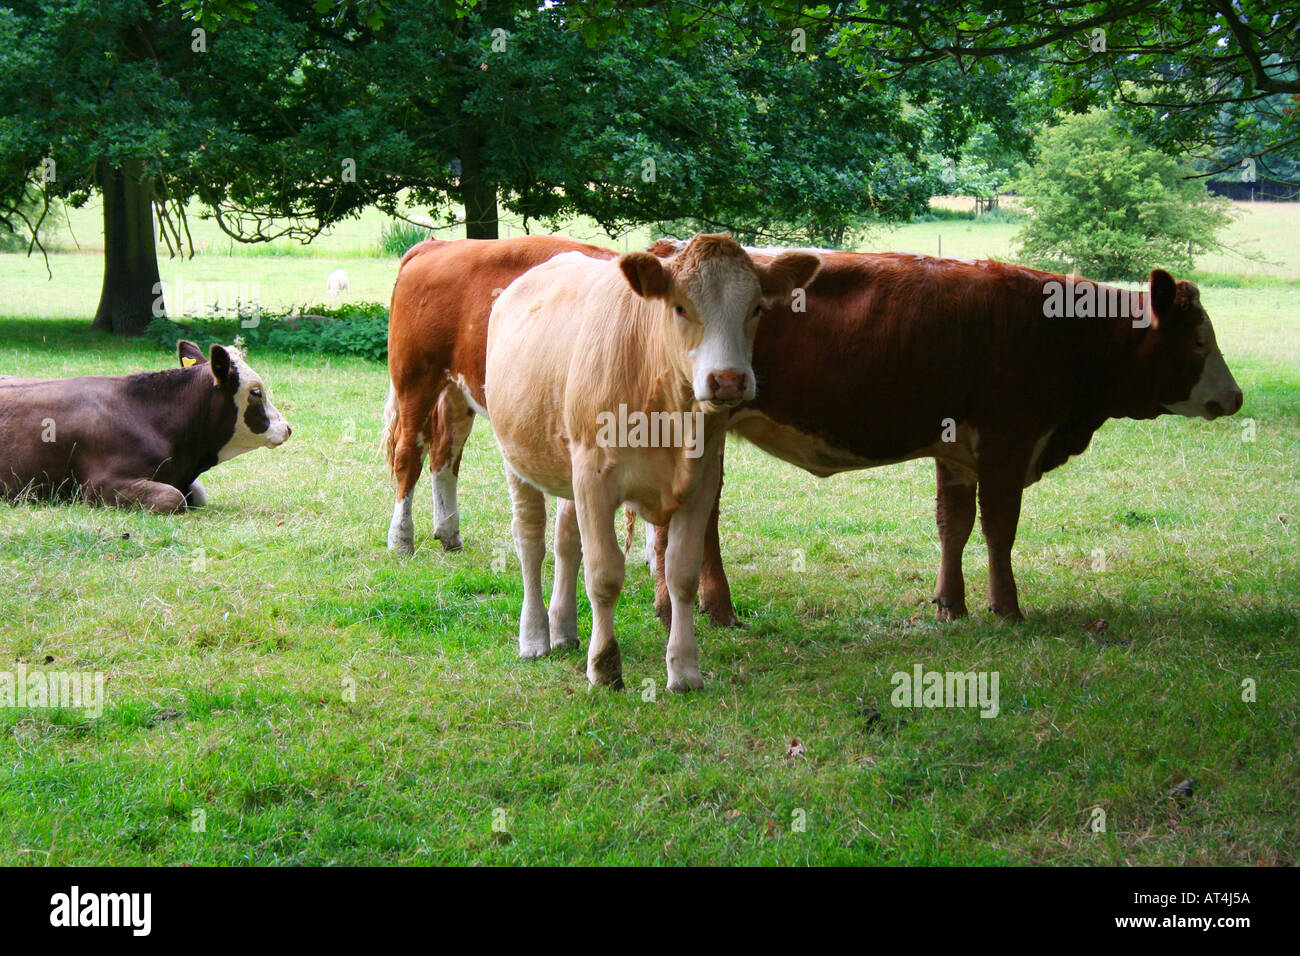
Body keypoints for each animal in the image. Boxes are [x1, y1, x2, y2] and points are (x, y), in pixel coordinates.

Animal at [484, 234, 820, 690]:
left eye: (755, 308)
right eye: (679, 306)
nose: (728, 380)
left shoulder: (701, 482)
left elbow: (682, 575)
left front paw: (685, 669)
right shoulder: (595, 479)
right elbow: (604, 574)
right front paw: (604, 667)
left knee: (566, 540)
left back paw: (563, 627)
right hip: (518, 459)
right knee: (530, 542)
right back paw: (535, 636)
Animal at [642, 247, 1243, 623]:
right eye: (1198, 340)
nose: (1236, 397)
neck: (1063, 334)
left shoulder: (957, 451)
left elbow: (954, 526)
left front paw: (951, 604)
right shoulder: (1008, 442)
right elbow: (1000, 528)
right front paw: (1008, 608)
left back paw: (692, 606)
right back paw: (698, 608)